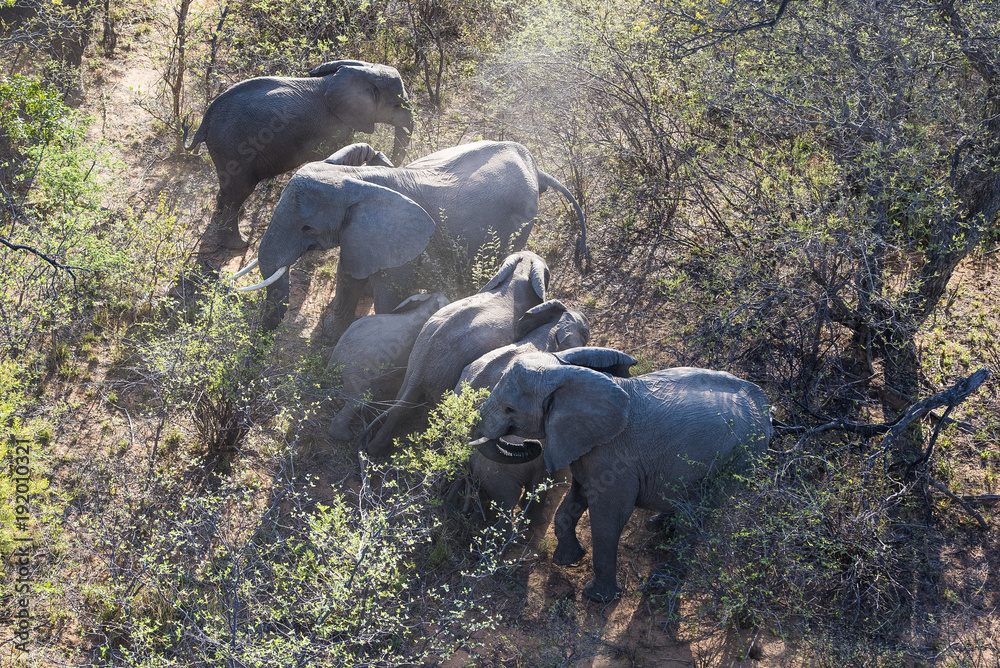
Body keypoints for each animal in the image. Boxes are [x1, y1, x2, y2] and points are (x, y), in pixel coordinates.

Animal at [185, 60, 412, 250]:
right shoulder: (334, 126)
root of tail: (205, 122)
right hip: (233, 146)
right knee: (238, 191)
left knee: (228, 190)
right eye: (398, 105)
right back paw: (238, 245)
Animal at [232, 140, 588, 339]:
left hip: (522, 219)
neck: (355, 179)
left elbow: (386, 299)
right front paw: (328, 337)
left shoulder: (406, 244)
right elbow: (348, 277)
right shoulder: (358, 234)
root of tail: (537, 169)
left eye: (307, 227)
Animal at [360, 251, 550, 457]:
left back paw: (376, 449)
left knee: (401, 402)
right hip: (444, 377)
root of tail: (421, 365)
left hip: (415, 360)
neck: (519, 271)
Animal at [471, 347, 773, 602]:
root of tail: (764, 406)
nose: (530, 443)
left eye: (510, 409)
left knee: (696, 519)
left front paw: (597, 598)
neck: (567, 375)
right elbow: (572, 502)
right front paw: (568, 560)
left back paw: (660, 586)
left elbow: (608, 517)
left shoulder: (613, 455)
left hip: (737, 459)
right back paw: (657, 525)